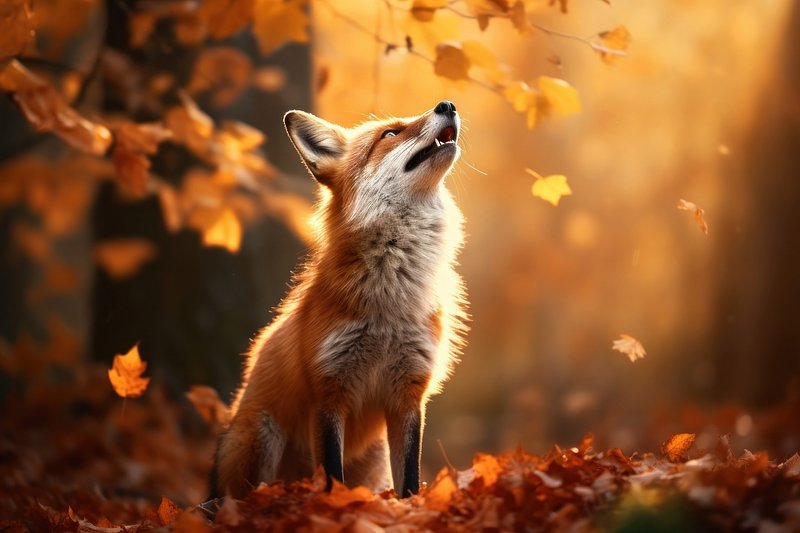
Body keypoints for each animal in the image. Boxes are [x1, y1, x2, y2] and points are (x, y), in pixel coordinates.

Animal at [212, 101, 468, 499]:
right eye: (390, 133)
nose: (448, 104)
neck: (390, 305)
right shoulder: (330, 389)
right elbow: (332, 474)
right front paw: (336, 507)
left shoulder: (408, 393)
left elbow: (409, 480)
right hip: (262, 435)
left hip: (373, 455)